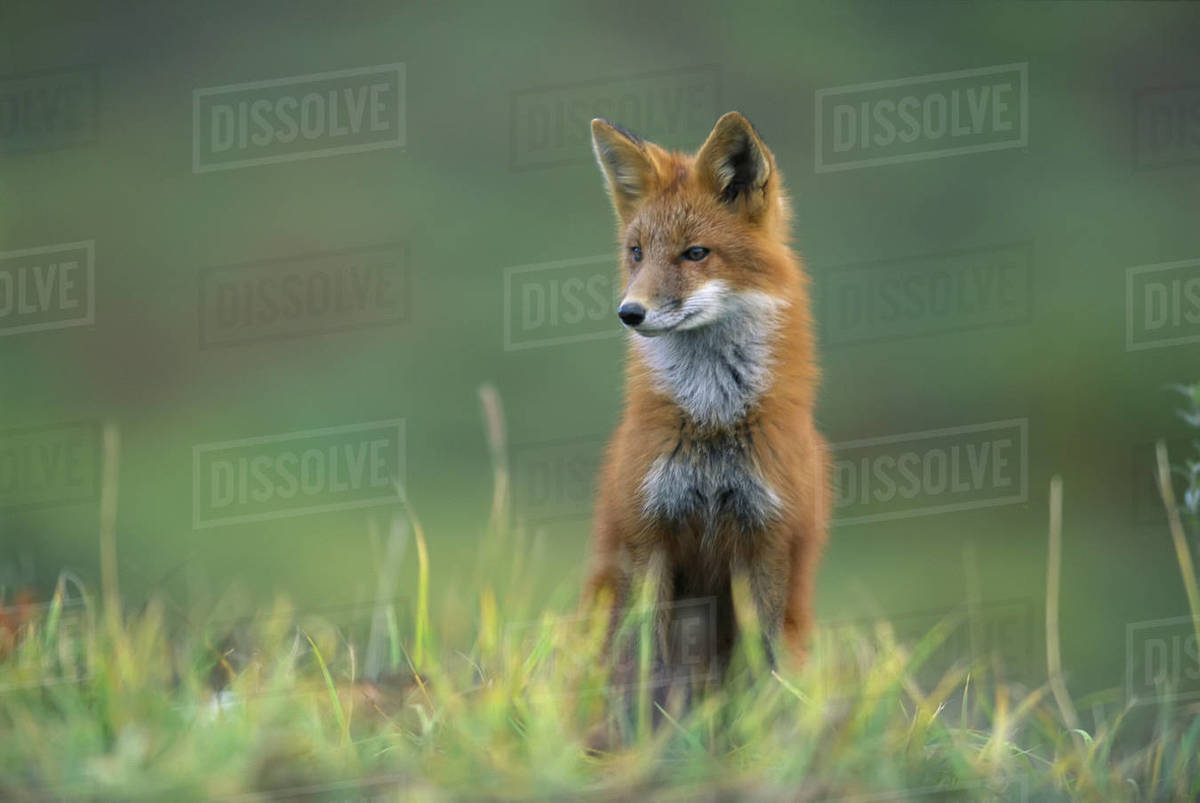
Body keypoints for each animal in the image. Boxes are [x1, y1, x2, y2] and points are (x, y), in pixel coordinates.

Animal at [583, 111, 831, 681]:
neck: (712, 421)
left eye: (695, 253)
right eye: (636, 252)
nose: (630, 312)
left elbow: (763, 672)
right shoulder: (648, 537)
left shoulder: (768, 540)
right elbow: (646, 666)